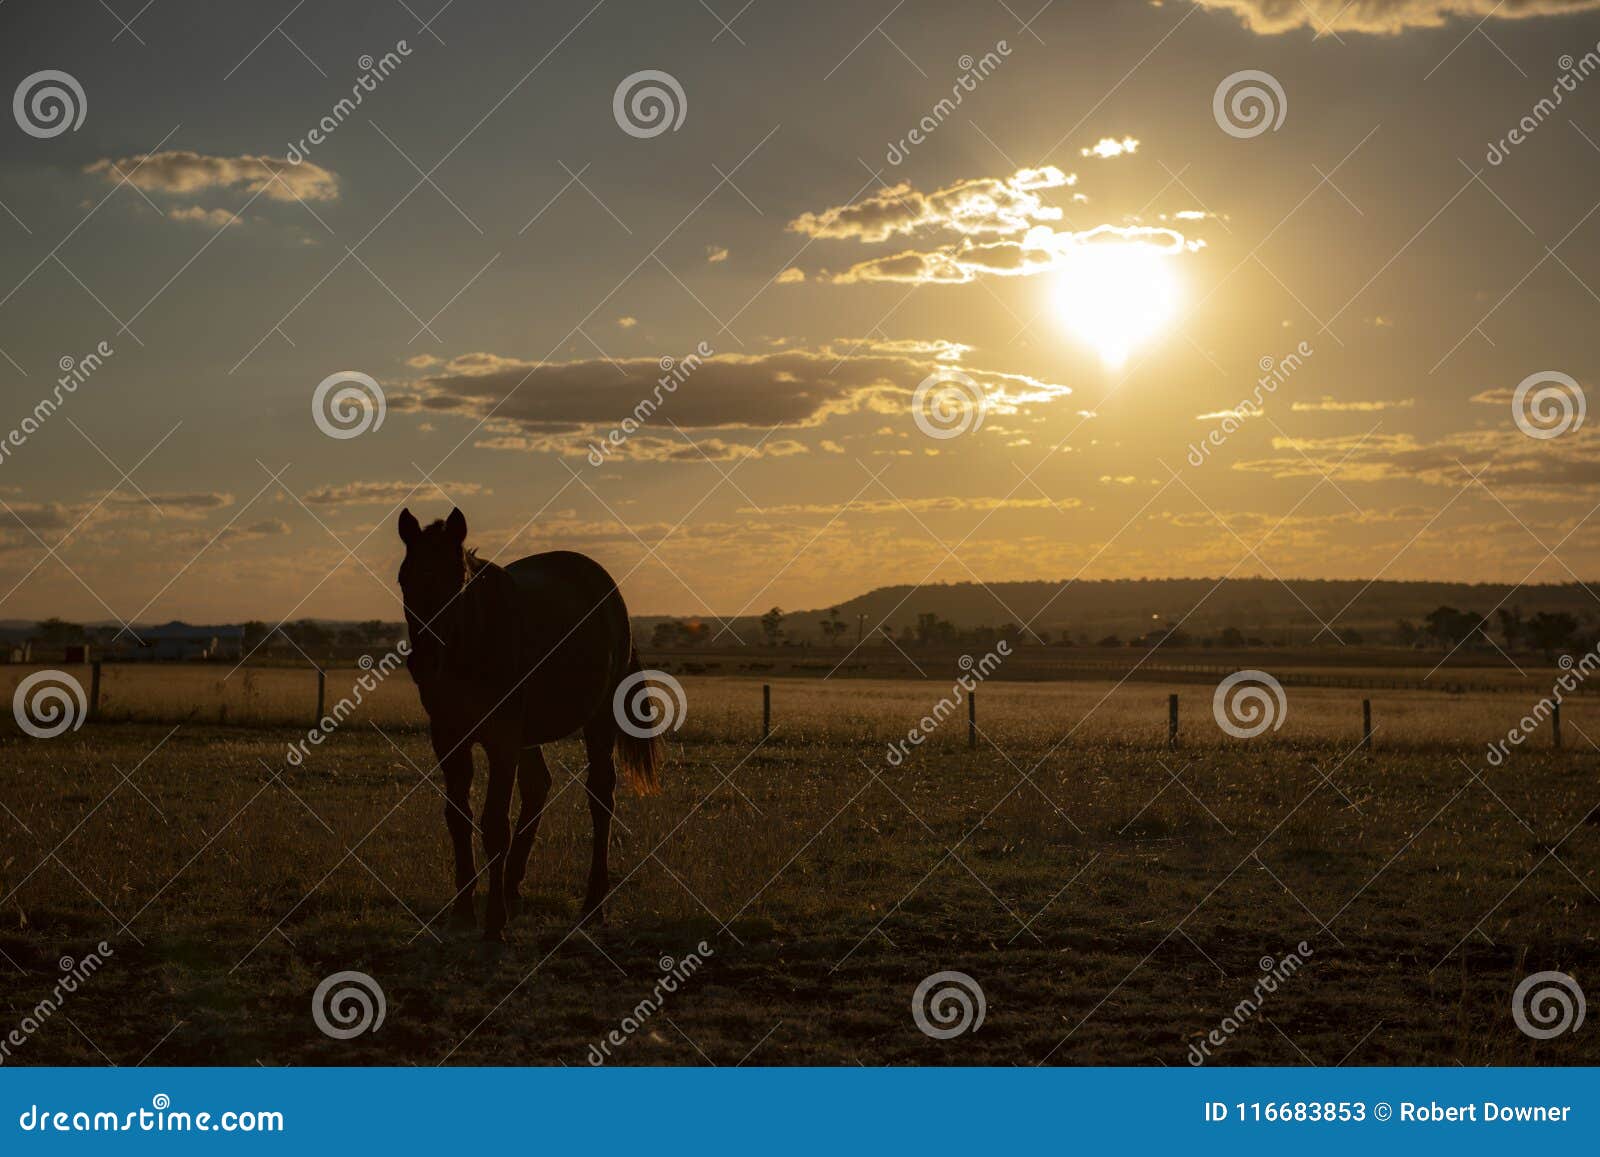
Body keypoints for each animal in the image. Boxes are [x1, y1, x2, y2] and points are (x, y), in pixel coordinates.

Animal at [396, 507, 659, 941]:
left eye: (459, 582)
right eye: (404, 579)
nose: (425, 662)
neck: (474, 645)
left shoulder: (502, 739)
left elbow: (493, 824)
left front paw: (493, 924)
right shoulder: (449, 739)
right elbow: (458, 818)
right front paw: (463, 912)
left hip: (599, 720)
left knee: (600, 796)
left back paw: (593, 904)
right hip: (528, 736)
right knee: (538, 787)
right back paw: (513, 888)